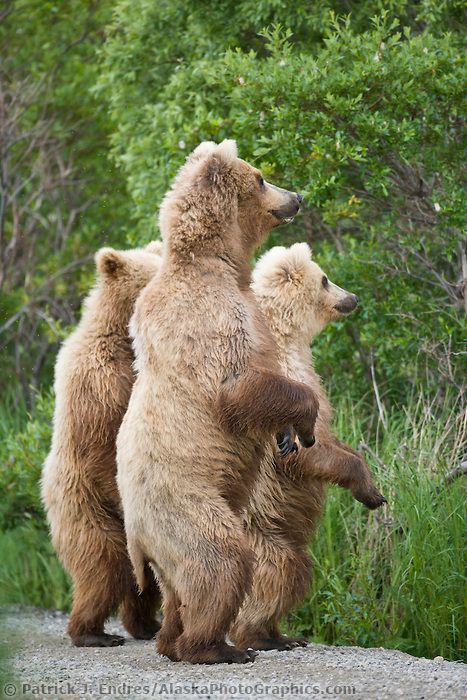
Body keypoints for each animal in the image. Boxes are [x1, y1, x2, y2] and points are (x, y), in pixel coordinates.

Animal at [41, 241, 163, 647]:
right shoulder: (102, 383)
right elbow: (103, 446)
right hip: (84, 509)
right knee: (105, 564)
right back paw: (92, 632)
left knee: (145, 576)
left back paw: (145, 624)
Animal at [116, 140, 320, 665]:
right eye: (263, 177)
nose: (298, 196)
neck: (220, 263)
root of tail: (137, 539)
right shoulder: (210, 320)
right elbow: (240, 385)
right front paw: (305, 424)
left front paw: (286, 437)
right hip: (186, 505)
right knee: (221, 558)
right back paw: (215, 647)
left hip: (167, 548)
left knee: (179, 590)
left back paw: (172, 640)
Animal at [229, 242, 386, 651]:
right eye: (326, 279)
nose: (353, 297)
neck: (289, 338)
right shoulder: (283, 382)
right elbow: (303, 451)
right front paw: (369, 491)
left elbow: (330, 440)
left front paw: (373, 487)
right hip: (263, 532)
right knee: (278, 571)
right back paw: (260, 635)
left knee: (298, 571)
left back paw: (286, 633)